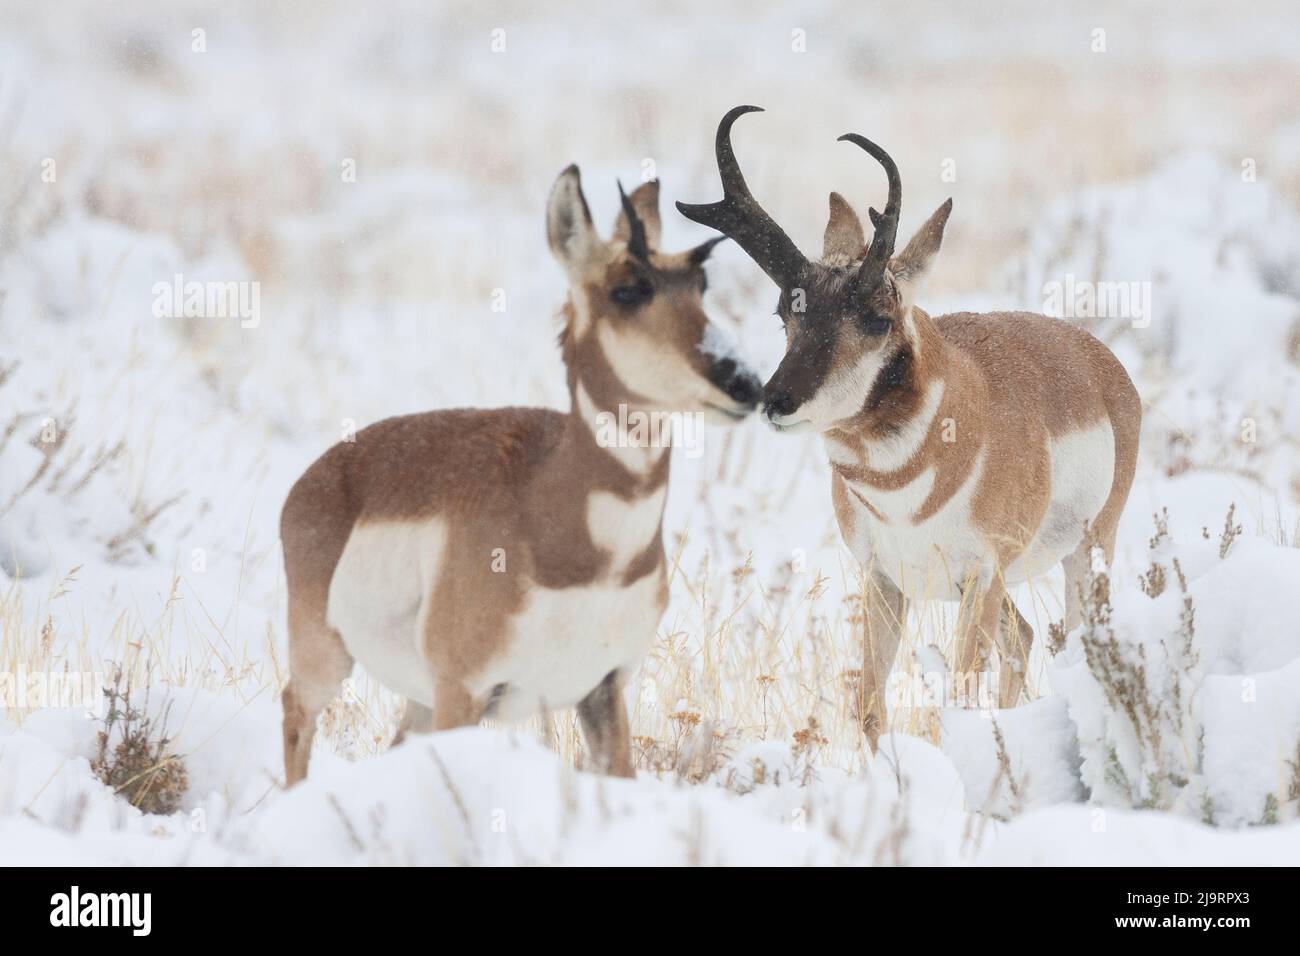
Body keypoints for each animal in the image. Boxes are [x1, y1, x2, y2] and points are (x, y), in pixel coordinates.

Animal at [280, 167, 762, 784]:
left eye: (700, 285)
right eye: (627, 289)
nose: (745, 381)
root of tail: (320, 472)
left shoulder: (603, 690)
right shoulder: (464, 689)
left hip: (419, 698)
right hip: (327, 656)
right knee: (295, 713)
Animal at [678, 106, 1141, 743]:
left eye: (878, 319)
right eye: (785, 312)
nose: (776, 401)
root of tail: (1099, 360)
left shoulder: (980, 578)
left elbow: (959, 699)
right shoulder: (883, 580)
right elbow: (871, 707)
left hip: (1088, 553)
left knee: (1072, 648)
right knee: (1023, 639)